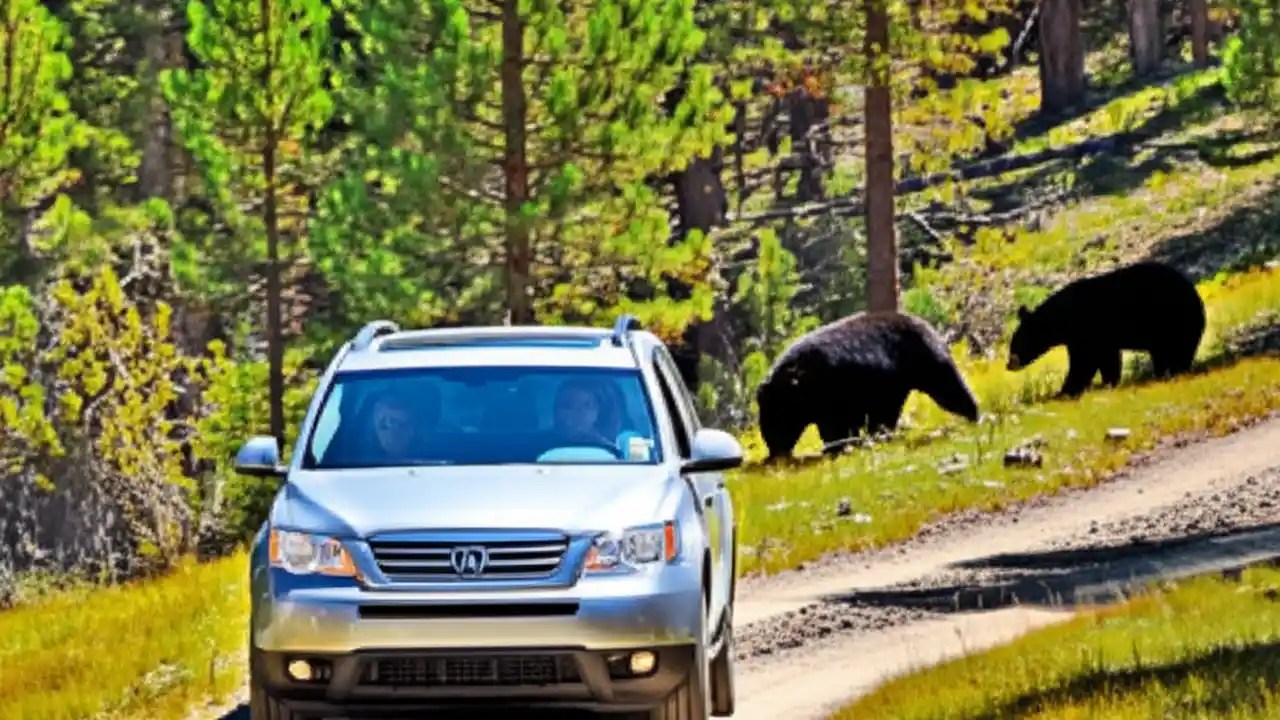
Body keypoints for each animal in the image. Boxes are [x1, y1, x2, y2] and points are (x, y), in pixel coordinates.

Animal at [755, 310, 981, 461]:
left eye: (777, 422)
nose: (775, 453)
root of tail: (926, 325)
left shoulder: (833, 392)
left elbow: (836, 426)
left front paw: (836, 448)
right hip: (895, 383)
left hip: (926, 363)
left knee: (948, 388)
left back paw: (973, 414)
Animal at [1006, 260, 1206, 398]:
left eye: (1015, 343)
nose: (1009, 364)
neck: (1062, 318)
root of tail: (1192, 291)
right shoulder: (1091, 336)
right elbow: (1105, 358)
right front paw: (1108, 382)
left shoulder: (1086, 329)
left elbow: (1084, 362)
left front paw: (1065, 391)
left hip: (1170, 320)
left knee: (1173, 349)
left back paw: (1170, 372)